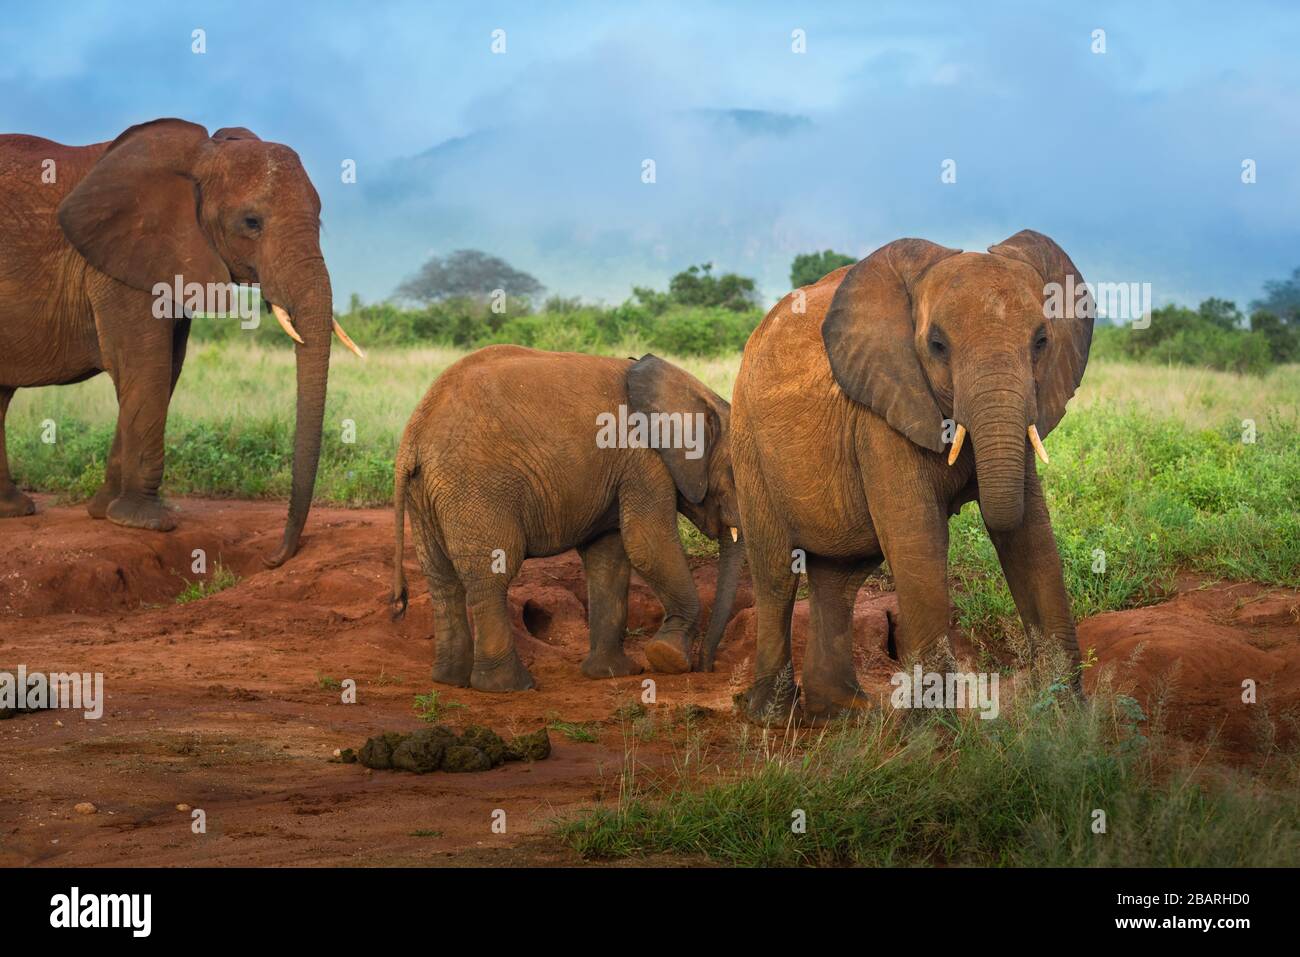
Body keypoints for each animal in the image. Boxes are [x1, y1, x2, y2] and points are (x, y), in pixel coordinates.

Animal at [0, 118, 361, 564]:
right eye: (251, 222)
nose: (276, 557)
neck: (200, 157)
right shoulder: (117, 265)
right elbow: (145, 368)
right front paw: (145, 521)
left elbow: (166, 368)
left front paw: (105, 512)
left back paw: (12, 509)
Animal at [389, 345, 744, 692]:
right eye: (734, 474)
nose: (706, 667)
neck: (695, 394)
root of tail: (414, 435)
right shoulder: (643, 459)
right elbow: (646, 544)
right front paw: (667, 658)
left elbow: (609, 556)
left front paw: (612, 674)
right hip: (474, 486)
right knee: (491, 573)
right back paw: (510, 687)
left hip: (427, 493)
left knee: (441, 577)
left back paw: (450, 680)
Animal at [731, 230, 1093, 725]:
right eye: (937, 345)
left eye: (1041, 341)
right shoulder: (882, 414)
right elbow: (918, 538)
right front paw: (935, 734)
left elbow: (1031, 535)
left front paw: (1067, 719)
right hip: (748, 443)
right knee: (775, 573)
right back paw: (769, 718)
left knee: (838, 580)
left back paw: (843, 712)